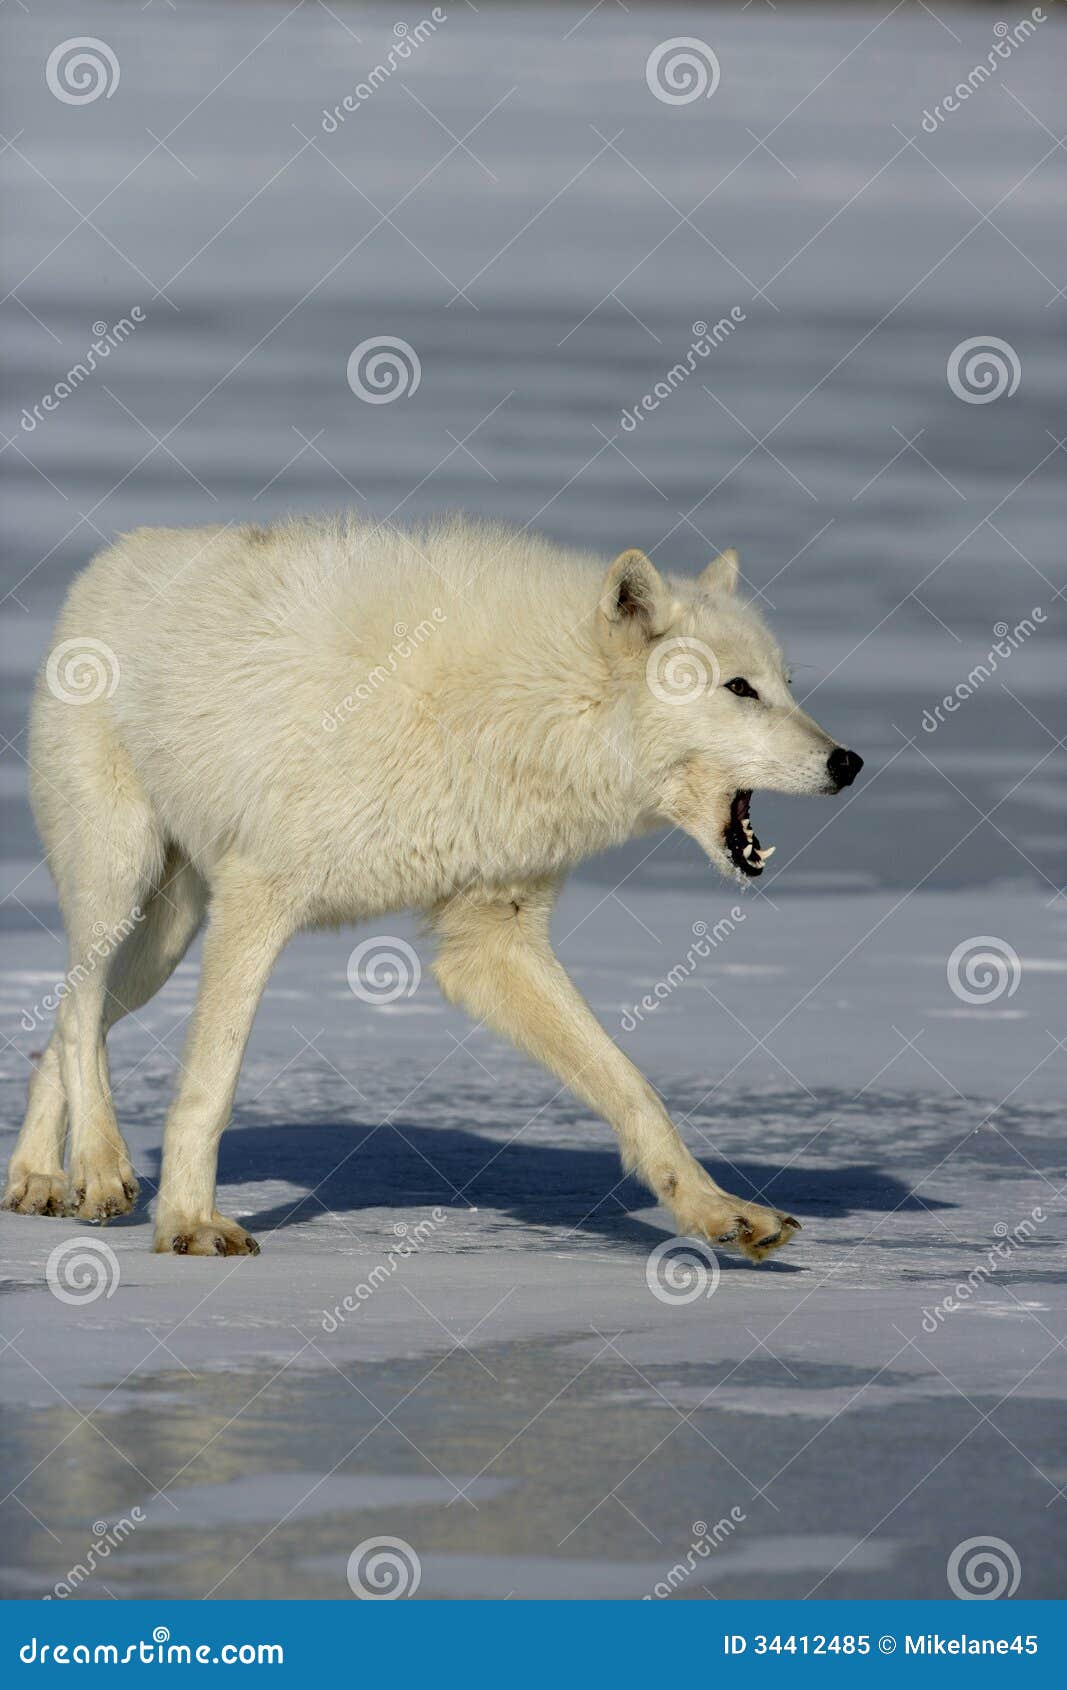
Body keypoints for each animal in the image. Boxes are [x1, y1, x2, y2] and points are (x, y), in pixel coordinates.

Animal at [3, 516, 862, 1261]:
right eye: (739, 689)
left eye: (786, 684)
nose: (847, 762)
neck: (527, 707)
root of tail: (113, 555)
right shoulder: (260, 897)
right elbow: (209, 1087)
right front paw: (189, 1223)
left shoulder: (490, 940)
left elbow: (632, 1090)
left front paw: (720, 1212)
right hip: (122, 880)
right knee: (79, 1012)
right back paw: (99, 1168)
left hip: (167, 937)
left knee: (63, 1027)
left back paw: (40, 1177)